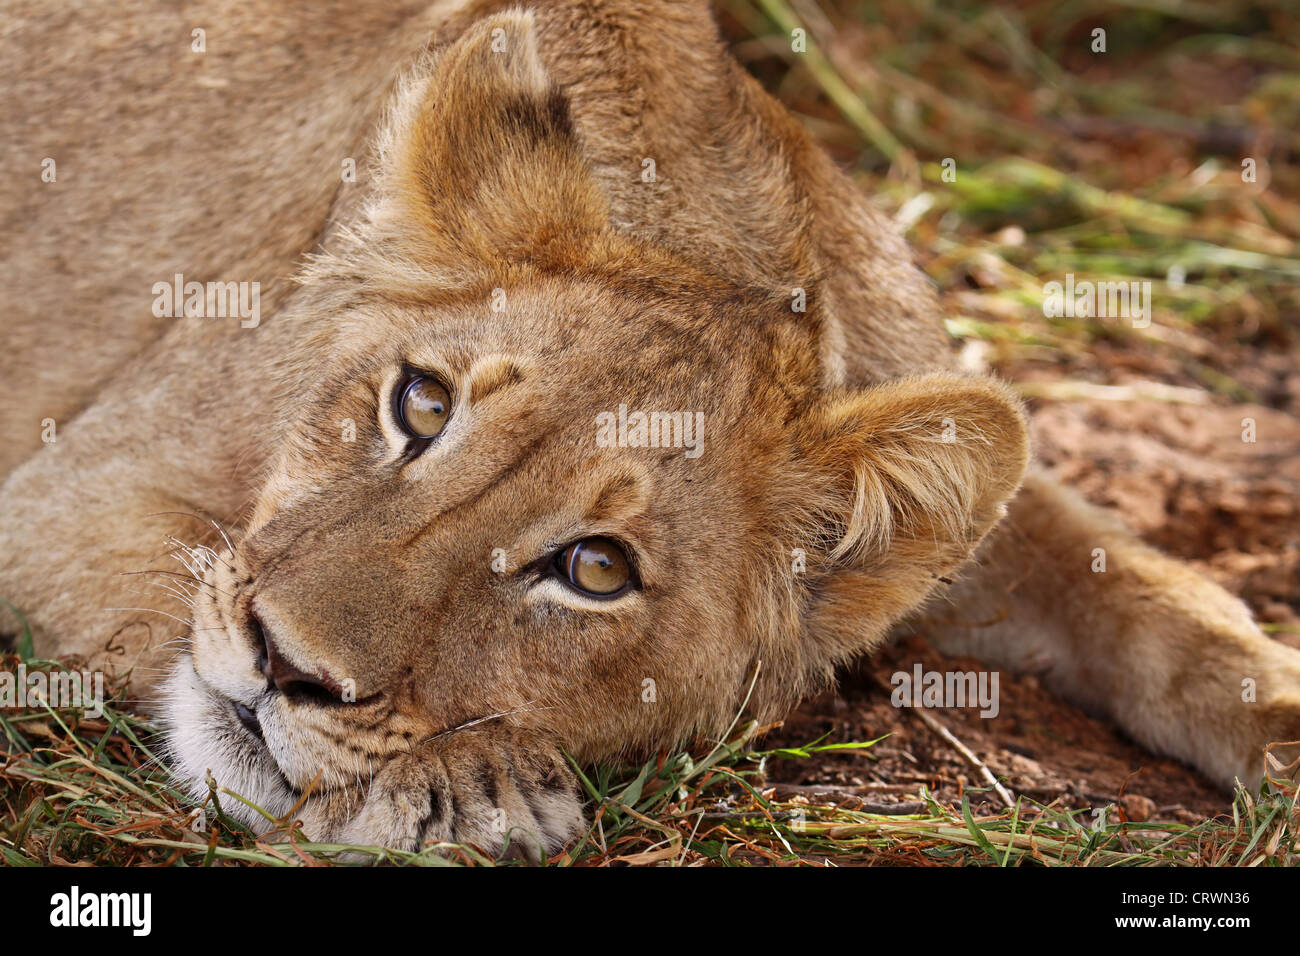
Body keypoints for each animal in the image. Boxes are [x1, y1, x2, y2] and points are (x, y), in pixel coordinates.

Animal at [3, 0, 1298, 860]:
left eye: (594, 569)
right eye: (419, 403)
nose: (280, 662)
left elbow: (1148, 591)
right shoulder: (70, 484)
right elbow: (177, 581)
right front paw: (460, 783)